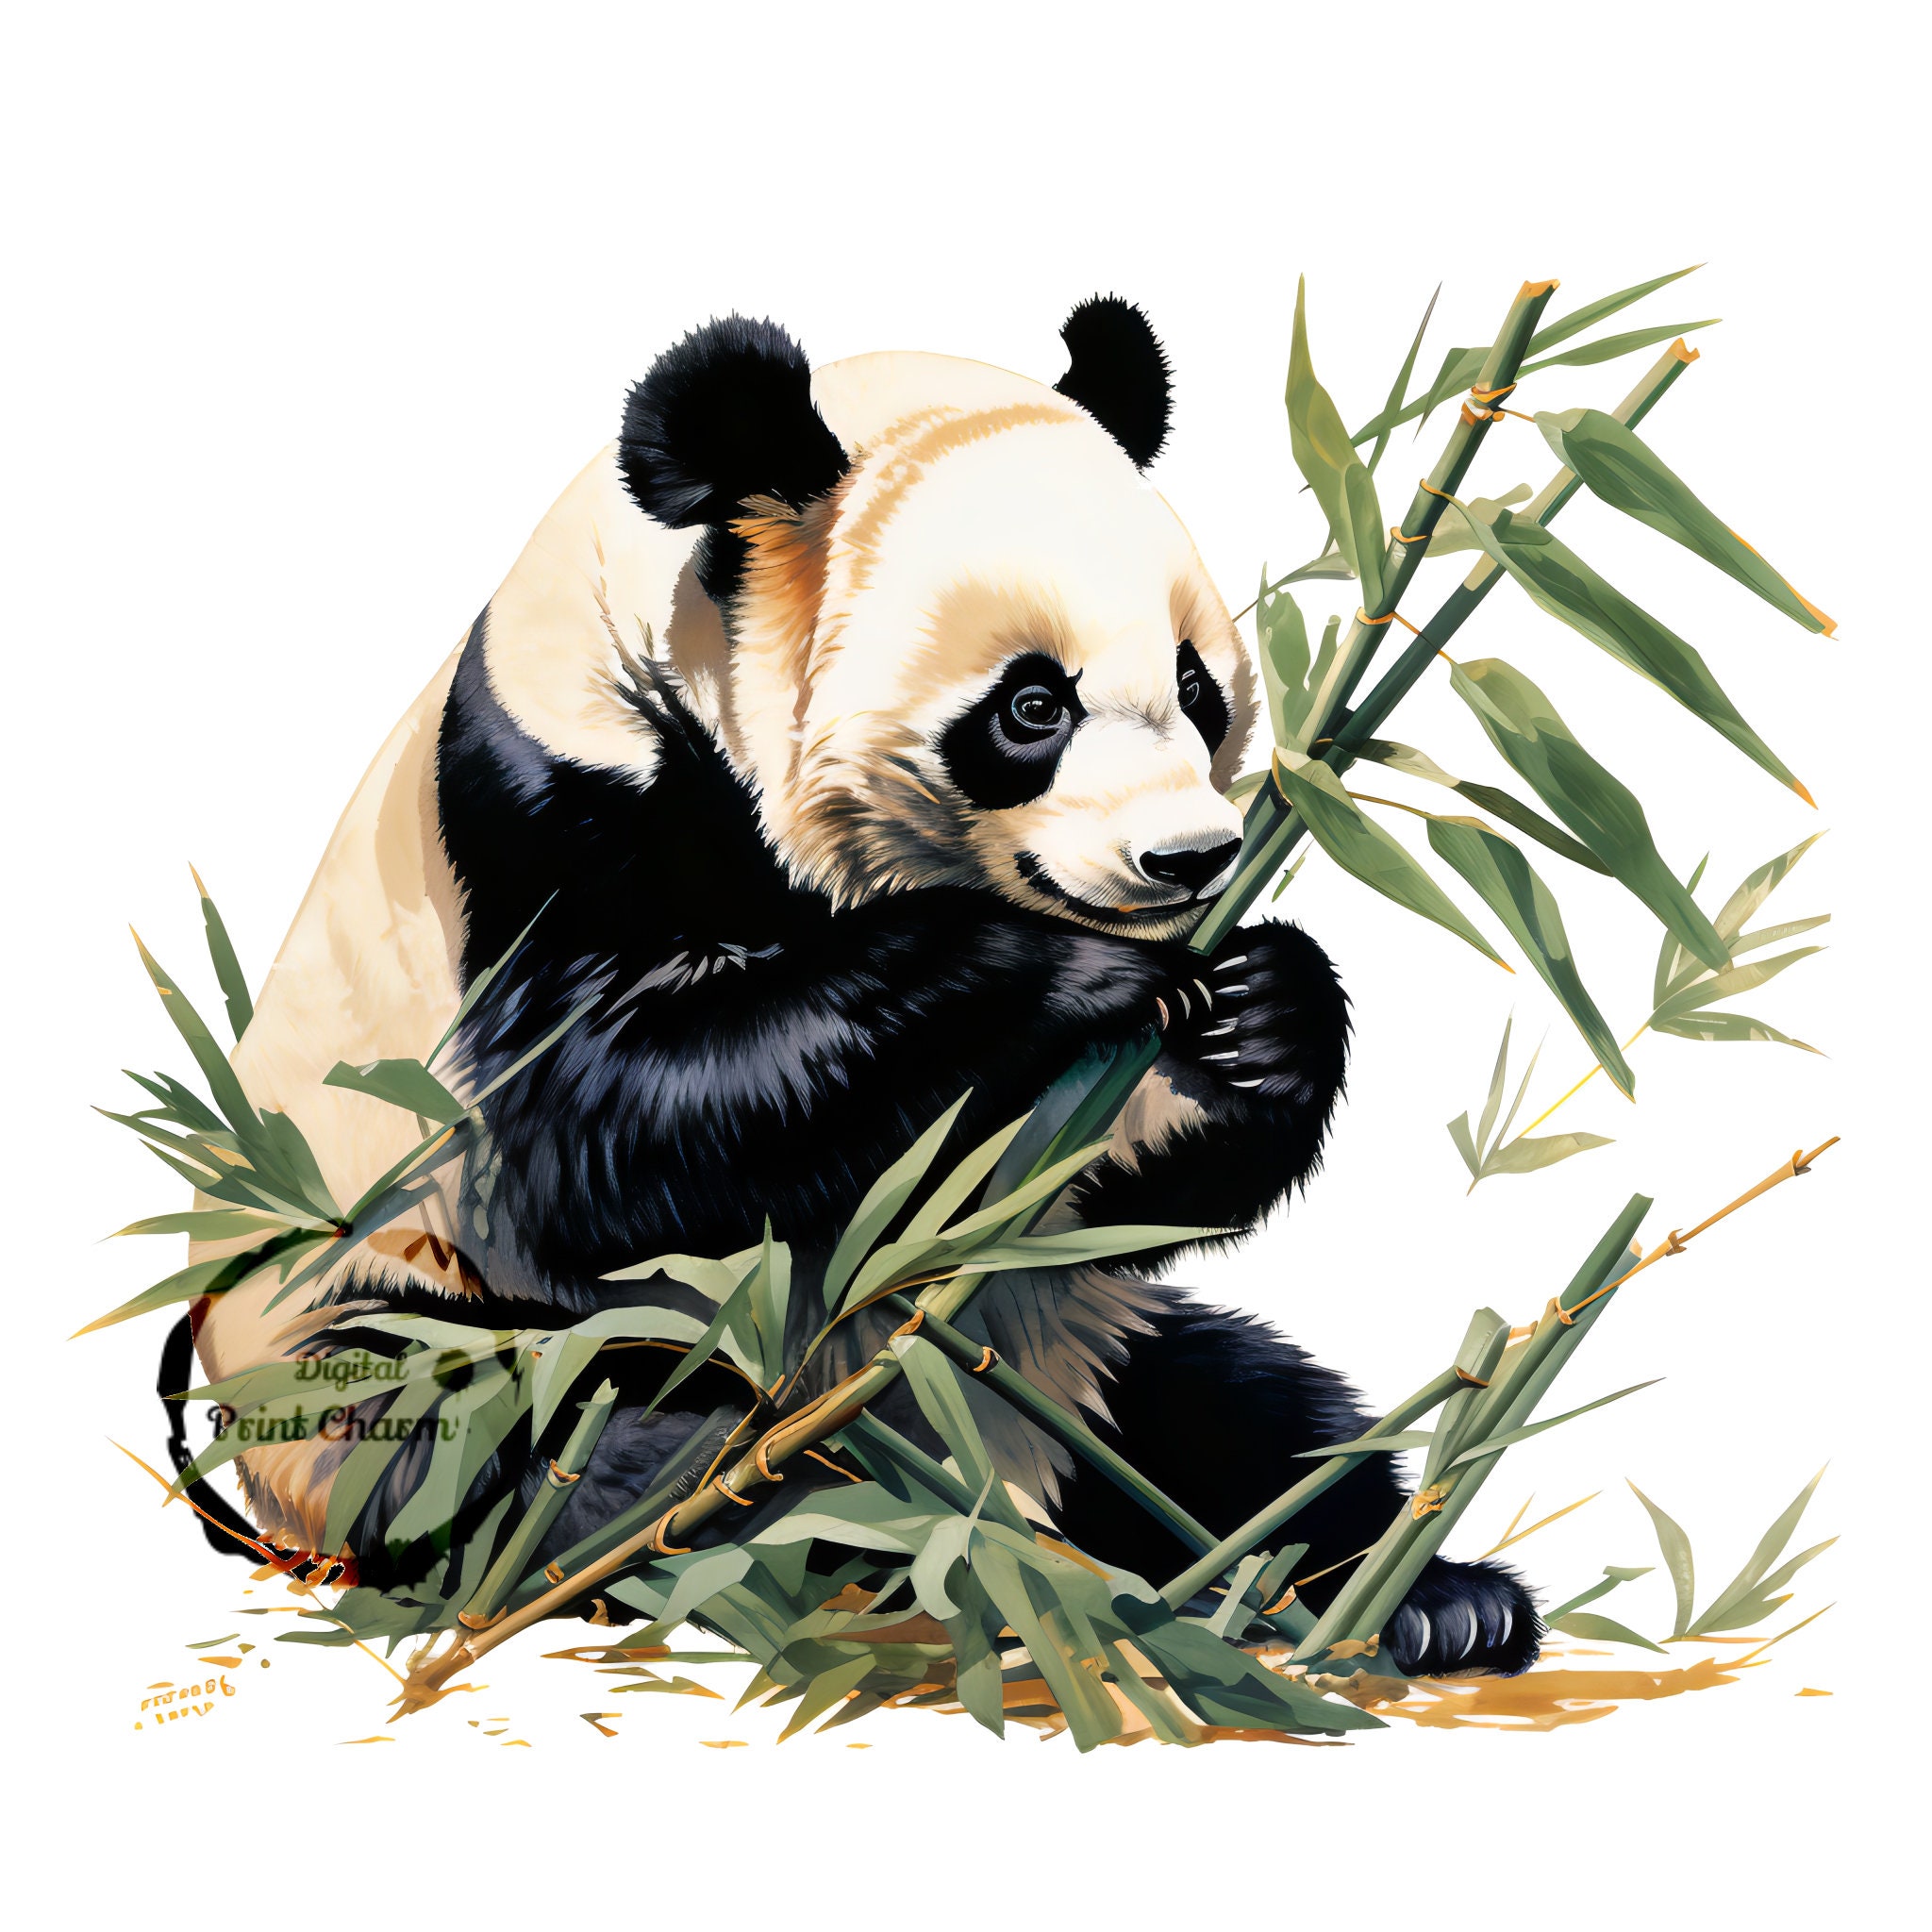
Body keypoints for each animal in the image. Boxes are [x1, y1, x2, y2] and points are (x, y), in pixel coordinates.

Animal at [177, 297, 1538, 1678]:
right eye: (1031, 707)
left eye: (1195, 687)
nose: (1189, 860)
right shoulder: (552, 816)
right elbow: (608, 1127)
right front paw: (1062, 966)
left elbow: (1070, 1182)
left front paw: (1266, 1011)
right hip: (379, 1341)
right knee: (524, 1450)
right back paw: (824, 1531)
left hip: (1061, 1335)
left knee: (1239, 1417)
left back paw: (1401, 1594)